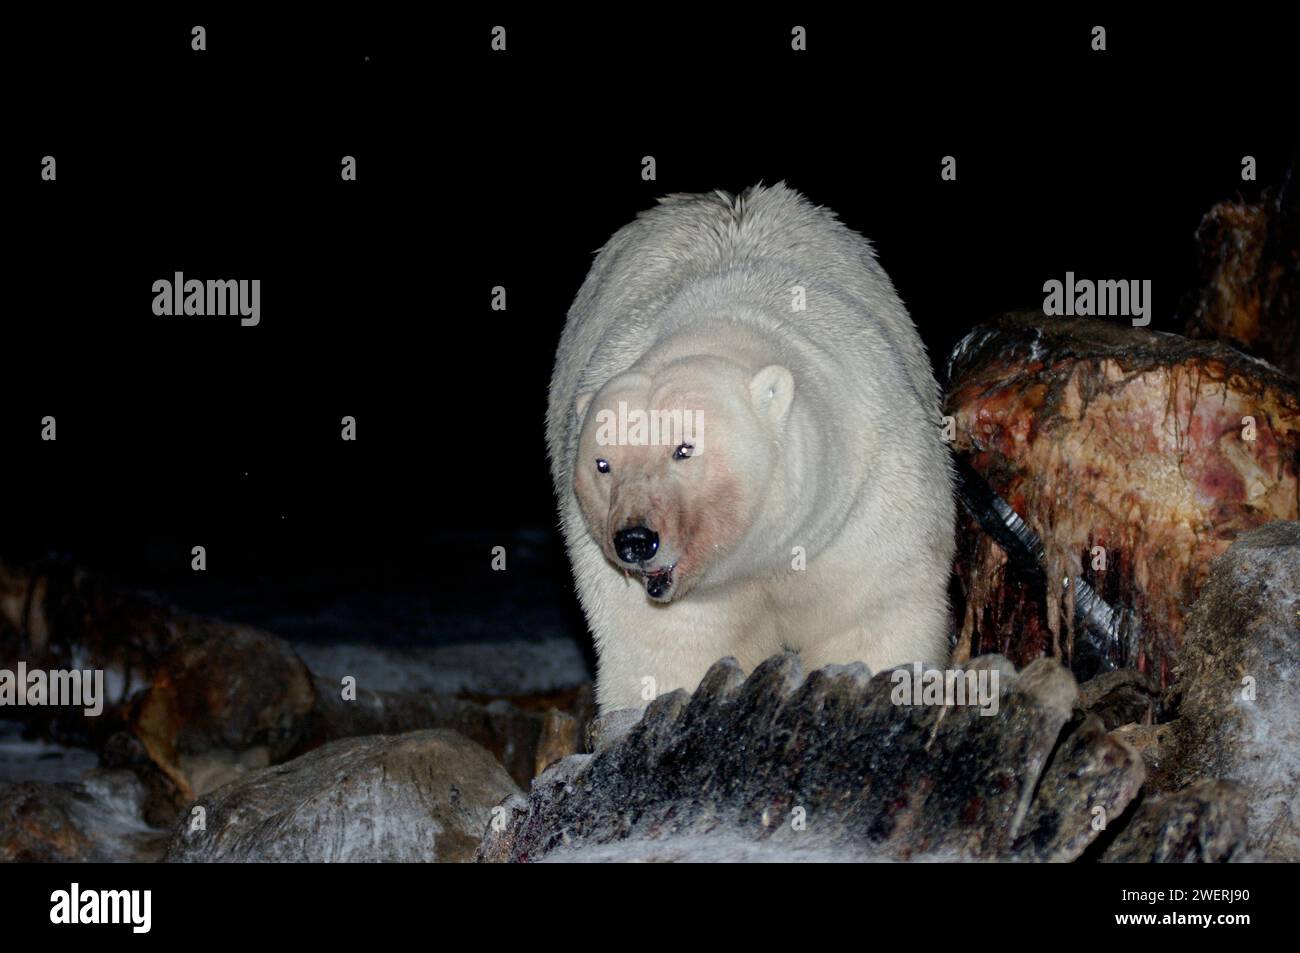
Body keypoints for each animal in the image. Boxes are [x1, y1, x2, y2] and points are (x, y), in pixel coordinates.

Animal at [546, 183, 955, 714]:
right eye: (603, 465)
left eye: (684, 449)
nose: (635, 539)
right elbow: (668, 651)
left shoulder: (863, 501)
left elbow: (867, 617)